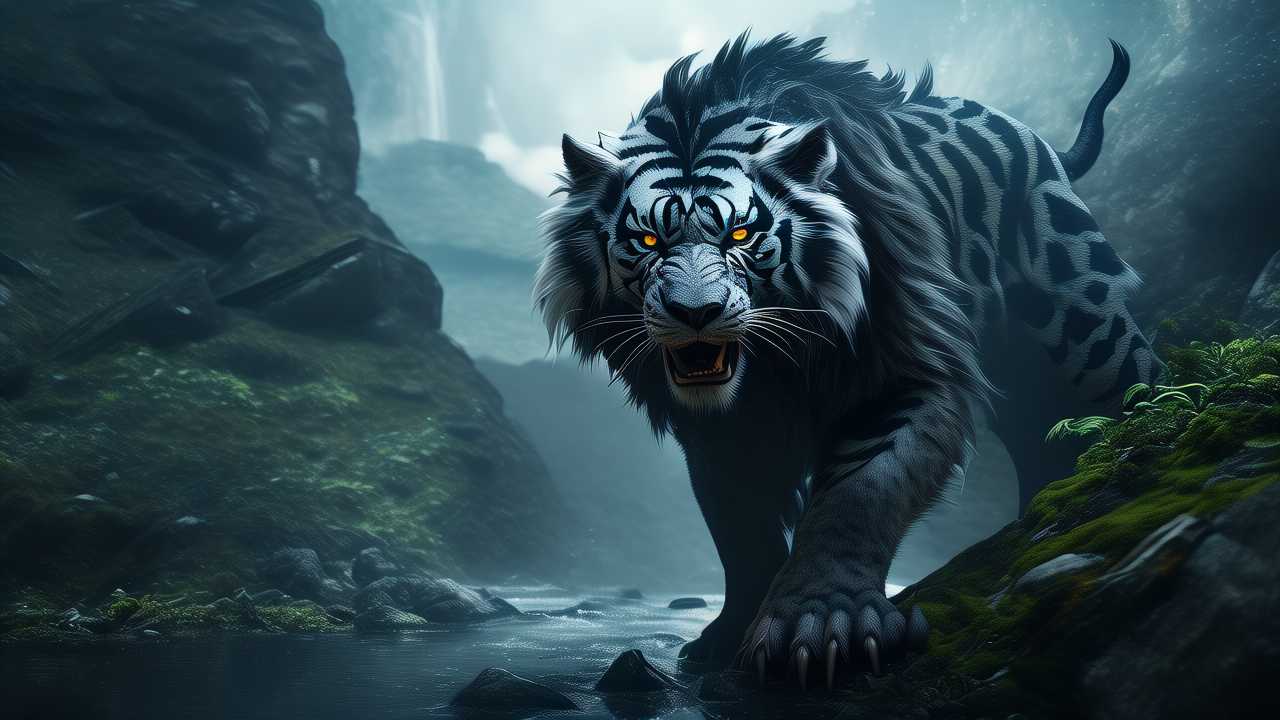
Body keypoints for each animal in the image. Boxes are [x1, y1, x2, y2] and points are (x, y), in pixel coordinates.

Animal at [534, 33, 1158, 689]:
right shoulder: (721, 435)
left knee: (1129, 385)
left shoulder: (901, 374)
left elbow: (858, 495)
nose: (694, 313)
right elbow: (740, 531)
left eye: (738, 237)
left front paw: (823, 625)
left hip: (1084, 325)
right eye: (650, 240)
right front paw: (726, 635)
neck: (772, 371)